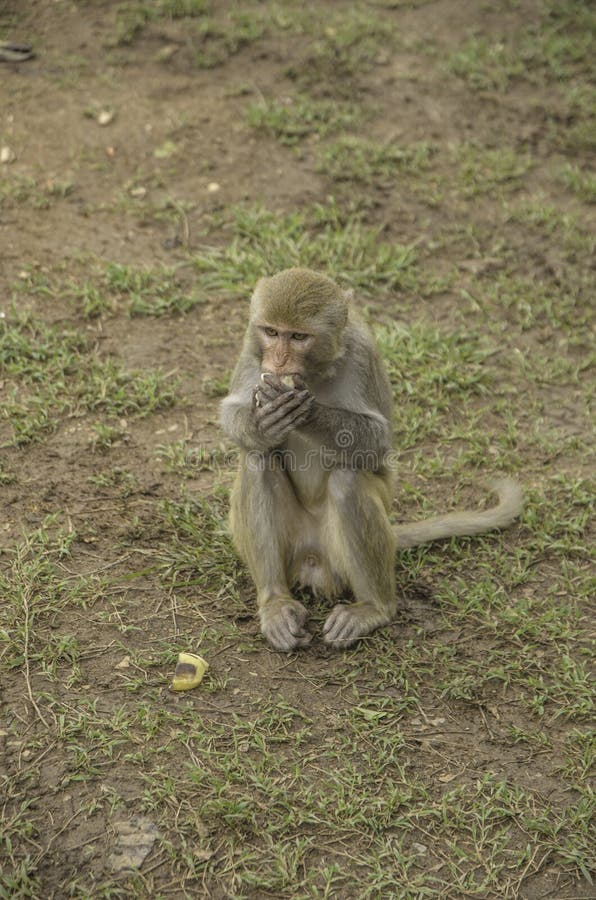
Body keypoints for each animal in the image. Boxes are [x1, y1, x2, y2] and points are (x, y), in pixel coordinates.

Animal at [220, 268, 523, 651]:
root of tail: (312, 561)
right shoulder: (251, 345)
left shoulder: (363, 353)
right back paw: (275, 601)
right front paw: (263, 421)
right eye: (271, 332)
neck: (317, 370)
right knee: (257, 461)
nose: (279, 361)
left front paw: (308, 413)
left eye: (299, 336)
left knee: (347, 480)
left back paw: (374, 608)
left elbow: (377, 442)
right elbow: (232, 413)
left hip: (339, 553)